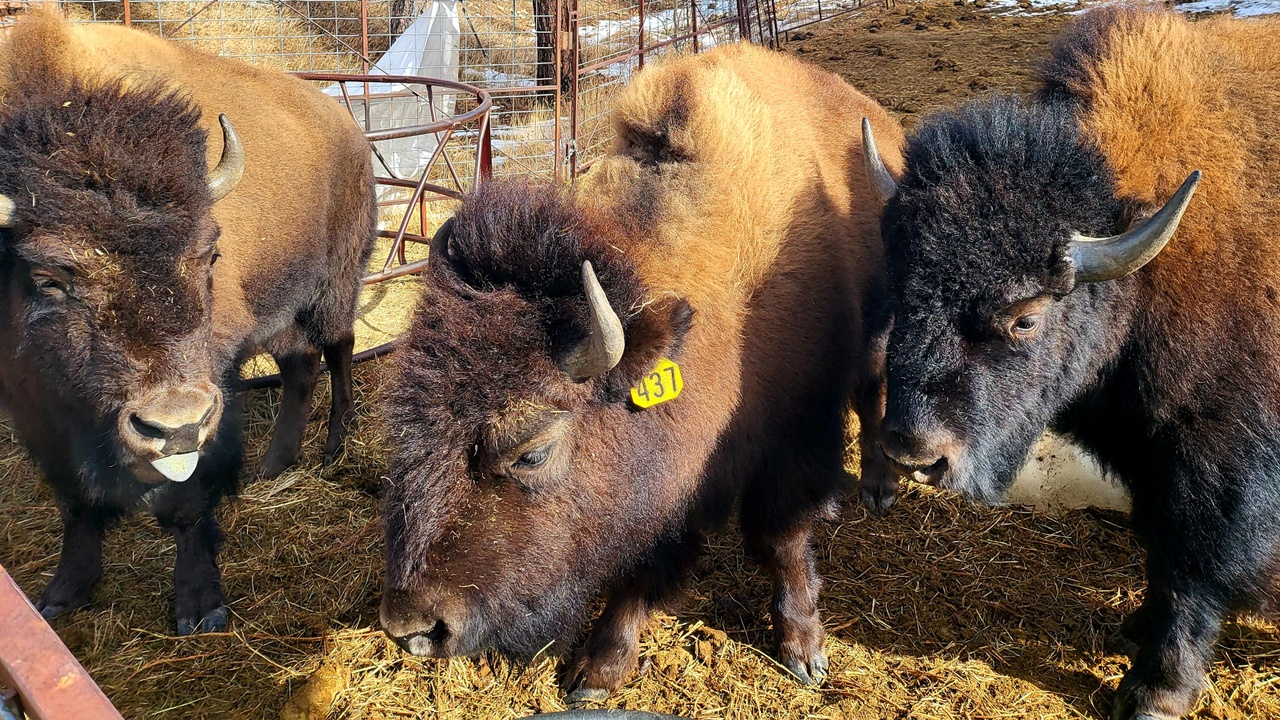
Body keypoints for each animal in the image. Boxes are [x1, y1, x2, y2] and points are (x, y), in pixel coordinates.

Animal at [0, 12, 375, 633]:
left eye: (208, 253)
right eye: (49, 275)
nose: (172, 425)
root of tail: (348, 128)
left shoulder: (210, 388)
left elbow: (188, 499)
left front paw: (200, 607)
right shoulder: (34, 404)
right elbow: (75, 501)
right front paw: (62, 593)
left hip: (335, 284)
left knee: (339, 349)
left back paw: (334, 445)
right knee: (299, 363)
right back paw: (273, 465)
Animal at [379, 43, 902, 698]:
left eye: (533, 451)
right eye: (407, 425)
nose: (413, 628)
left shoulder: (795, 438)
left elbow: (782, 542)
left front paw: (805, 652)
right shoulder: (665, 479)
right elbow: (647, 563)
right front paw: (597, 672)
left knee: (874, 396)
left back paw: (877, 489)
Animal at [863, 7, 1280, 718]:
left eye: (1026, 317)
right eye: (897, 284)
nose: (917, 455)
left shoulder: (1220, 459)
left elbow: (1191, 567)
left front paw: (1155, 693)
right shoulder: (1147, 452)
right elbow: (1154, 545)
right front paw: (1133, 628)